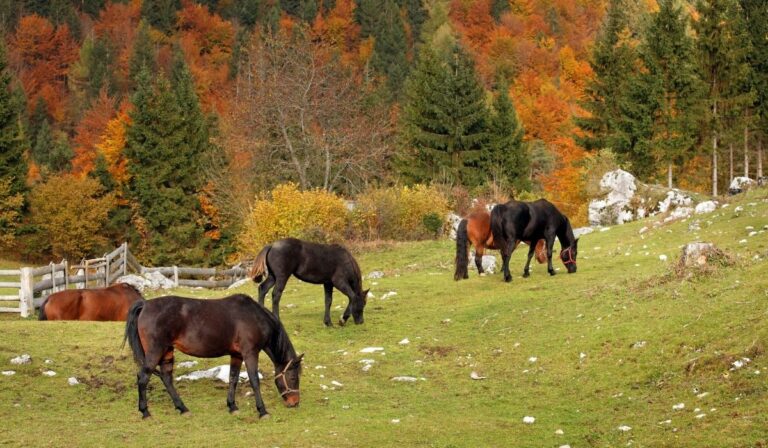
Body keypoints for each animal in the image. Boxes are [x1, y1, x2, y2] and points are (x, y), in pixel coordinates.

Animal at [124, 294, 303, 419]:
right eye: (293, 377)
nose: (295, 403)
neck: (254, 317)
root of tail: (145, 304)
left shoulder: (236, 355)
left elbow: (233, 378)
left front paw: (232, 406)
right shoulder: (250, 353)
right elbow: (254, 381)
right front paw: (262, 411)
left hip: (167, 351)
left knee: (166, 378)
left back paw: (183, 408)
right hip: (155, 351)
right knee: (143, 378)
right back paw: (145, 412)